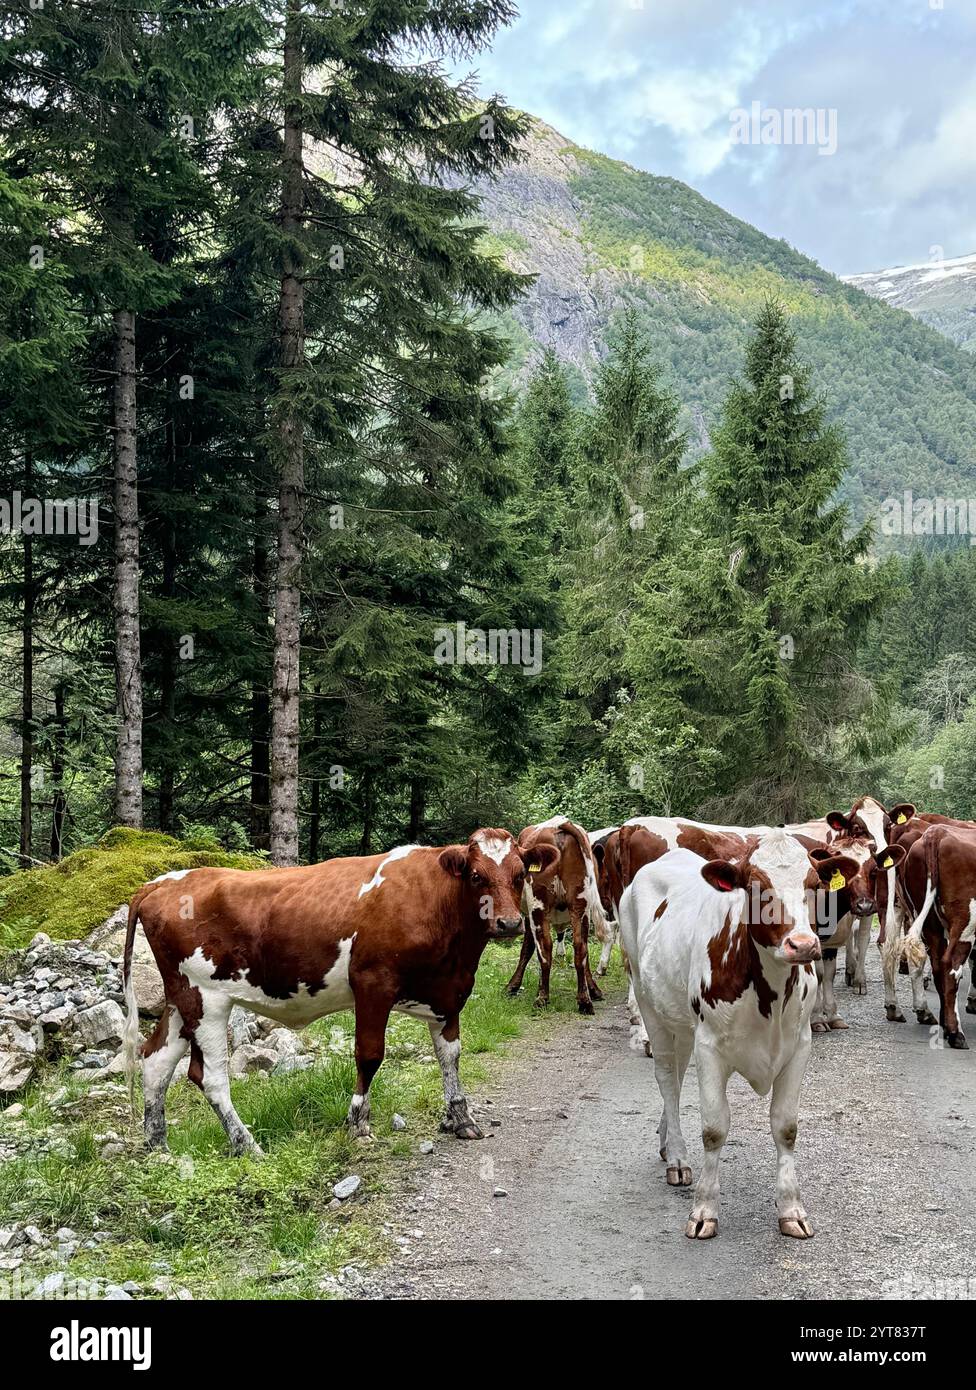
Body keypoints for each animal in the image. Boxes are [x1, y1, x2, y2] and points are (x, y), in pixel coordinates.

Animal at [121, 829, 556, 1155]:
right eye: (476, 875)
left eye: (520, 873)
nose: (508, 923)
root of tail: (161, 881)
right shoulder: (373, 983)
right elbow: (370, 1055)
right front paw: (358, 1123)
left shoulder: (448, 993)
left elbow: (450, 1056)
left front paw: (460, 1117)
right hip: (206, 998)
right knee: (209, 1077)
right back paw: (246, 1145)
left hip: (180, 1000)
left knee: (156, 1060)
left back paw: (157, 1144)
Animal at [505, 817, 608, 1014]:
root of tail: (559, 824)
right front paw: (594, 990)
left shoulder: (529, 914)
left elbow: (527, 948)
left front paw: (512, 986)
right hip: (579, 905)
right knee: (580, 947)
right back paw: (584, 1001)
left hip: (538, 906)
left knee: (545, 948)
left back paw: (542, 998)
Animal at [619, 831, 861, 1241]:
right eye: (757, 887)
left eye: (814, 885)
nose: (803, 944)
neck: (770, 993)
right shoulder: (710, 1047)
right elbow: (714, 1129)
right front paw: (704, 1211)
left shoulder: (799, 1047)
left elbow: (786, 1127)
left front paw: (791, 1209)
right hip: (648, 1001)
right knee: (667, 1077)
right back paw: (678, 1156)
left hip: (681, 1019)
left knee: (677, 1076)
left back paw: (668, 1143)